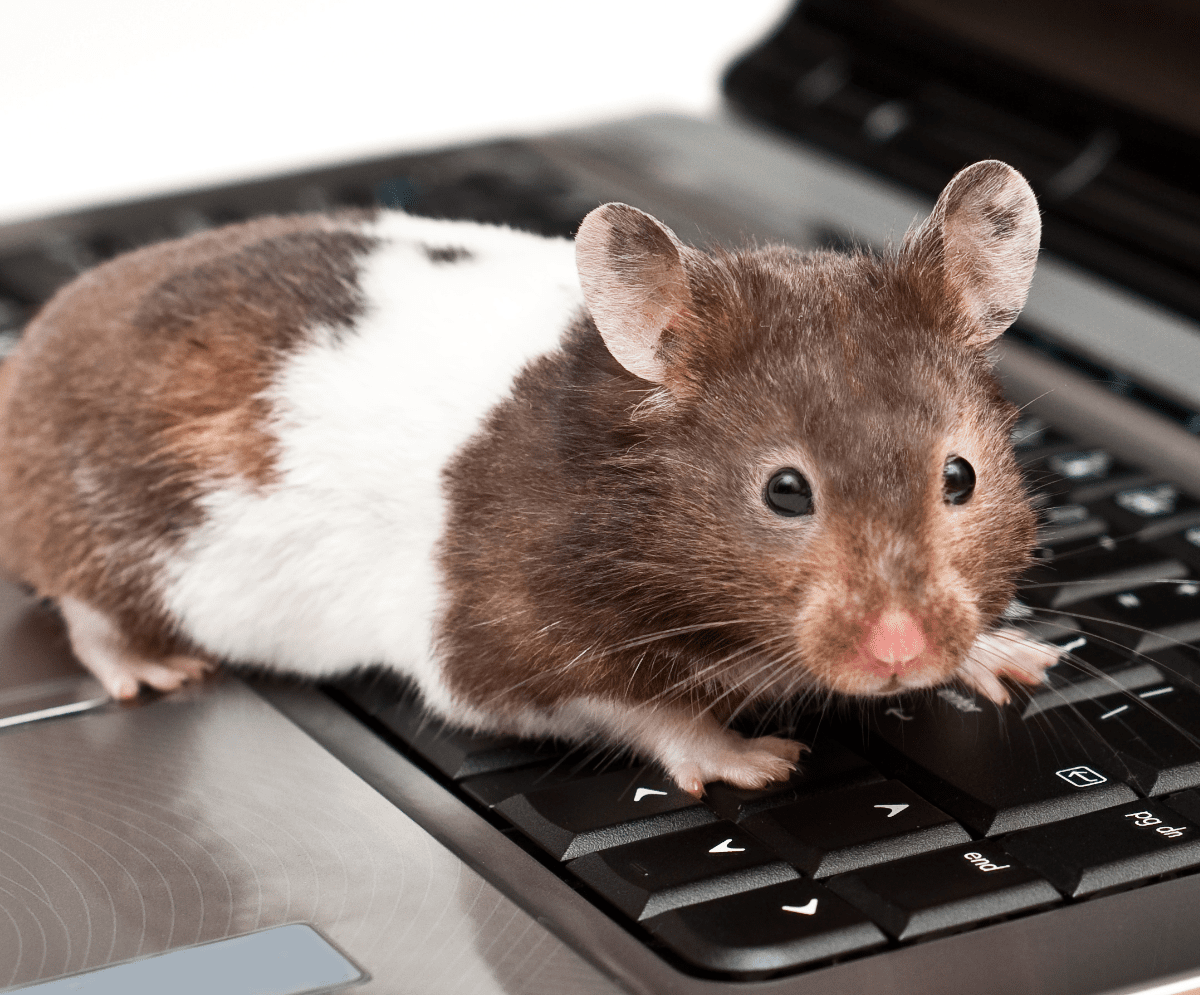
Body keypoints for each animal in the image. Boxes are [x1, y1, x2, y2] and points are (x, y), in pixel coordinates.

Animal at [0, 159, 1059, 795]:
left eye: (960, 476)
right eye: (784, 491)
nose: (898, 653)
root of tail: (30, 351)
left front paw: (1019, 658)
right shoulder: (489, 648)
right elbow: (637, 707)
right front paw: (758, 761)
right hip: (99, 528)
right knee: (85, 610)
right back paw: (155, 670)